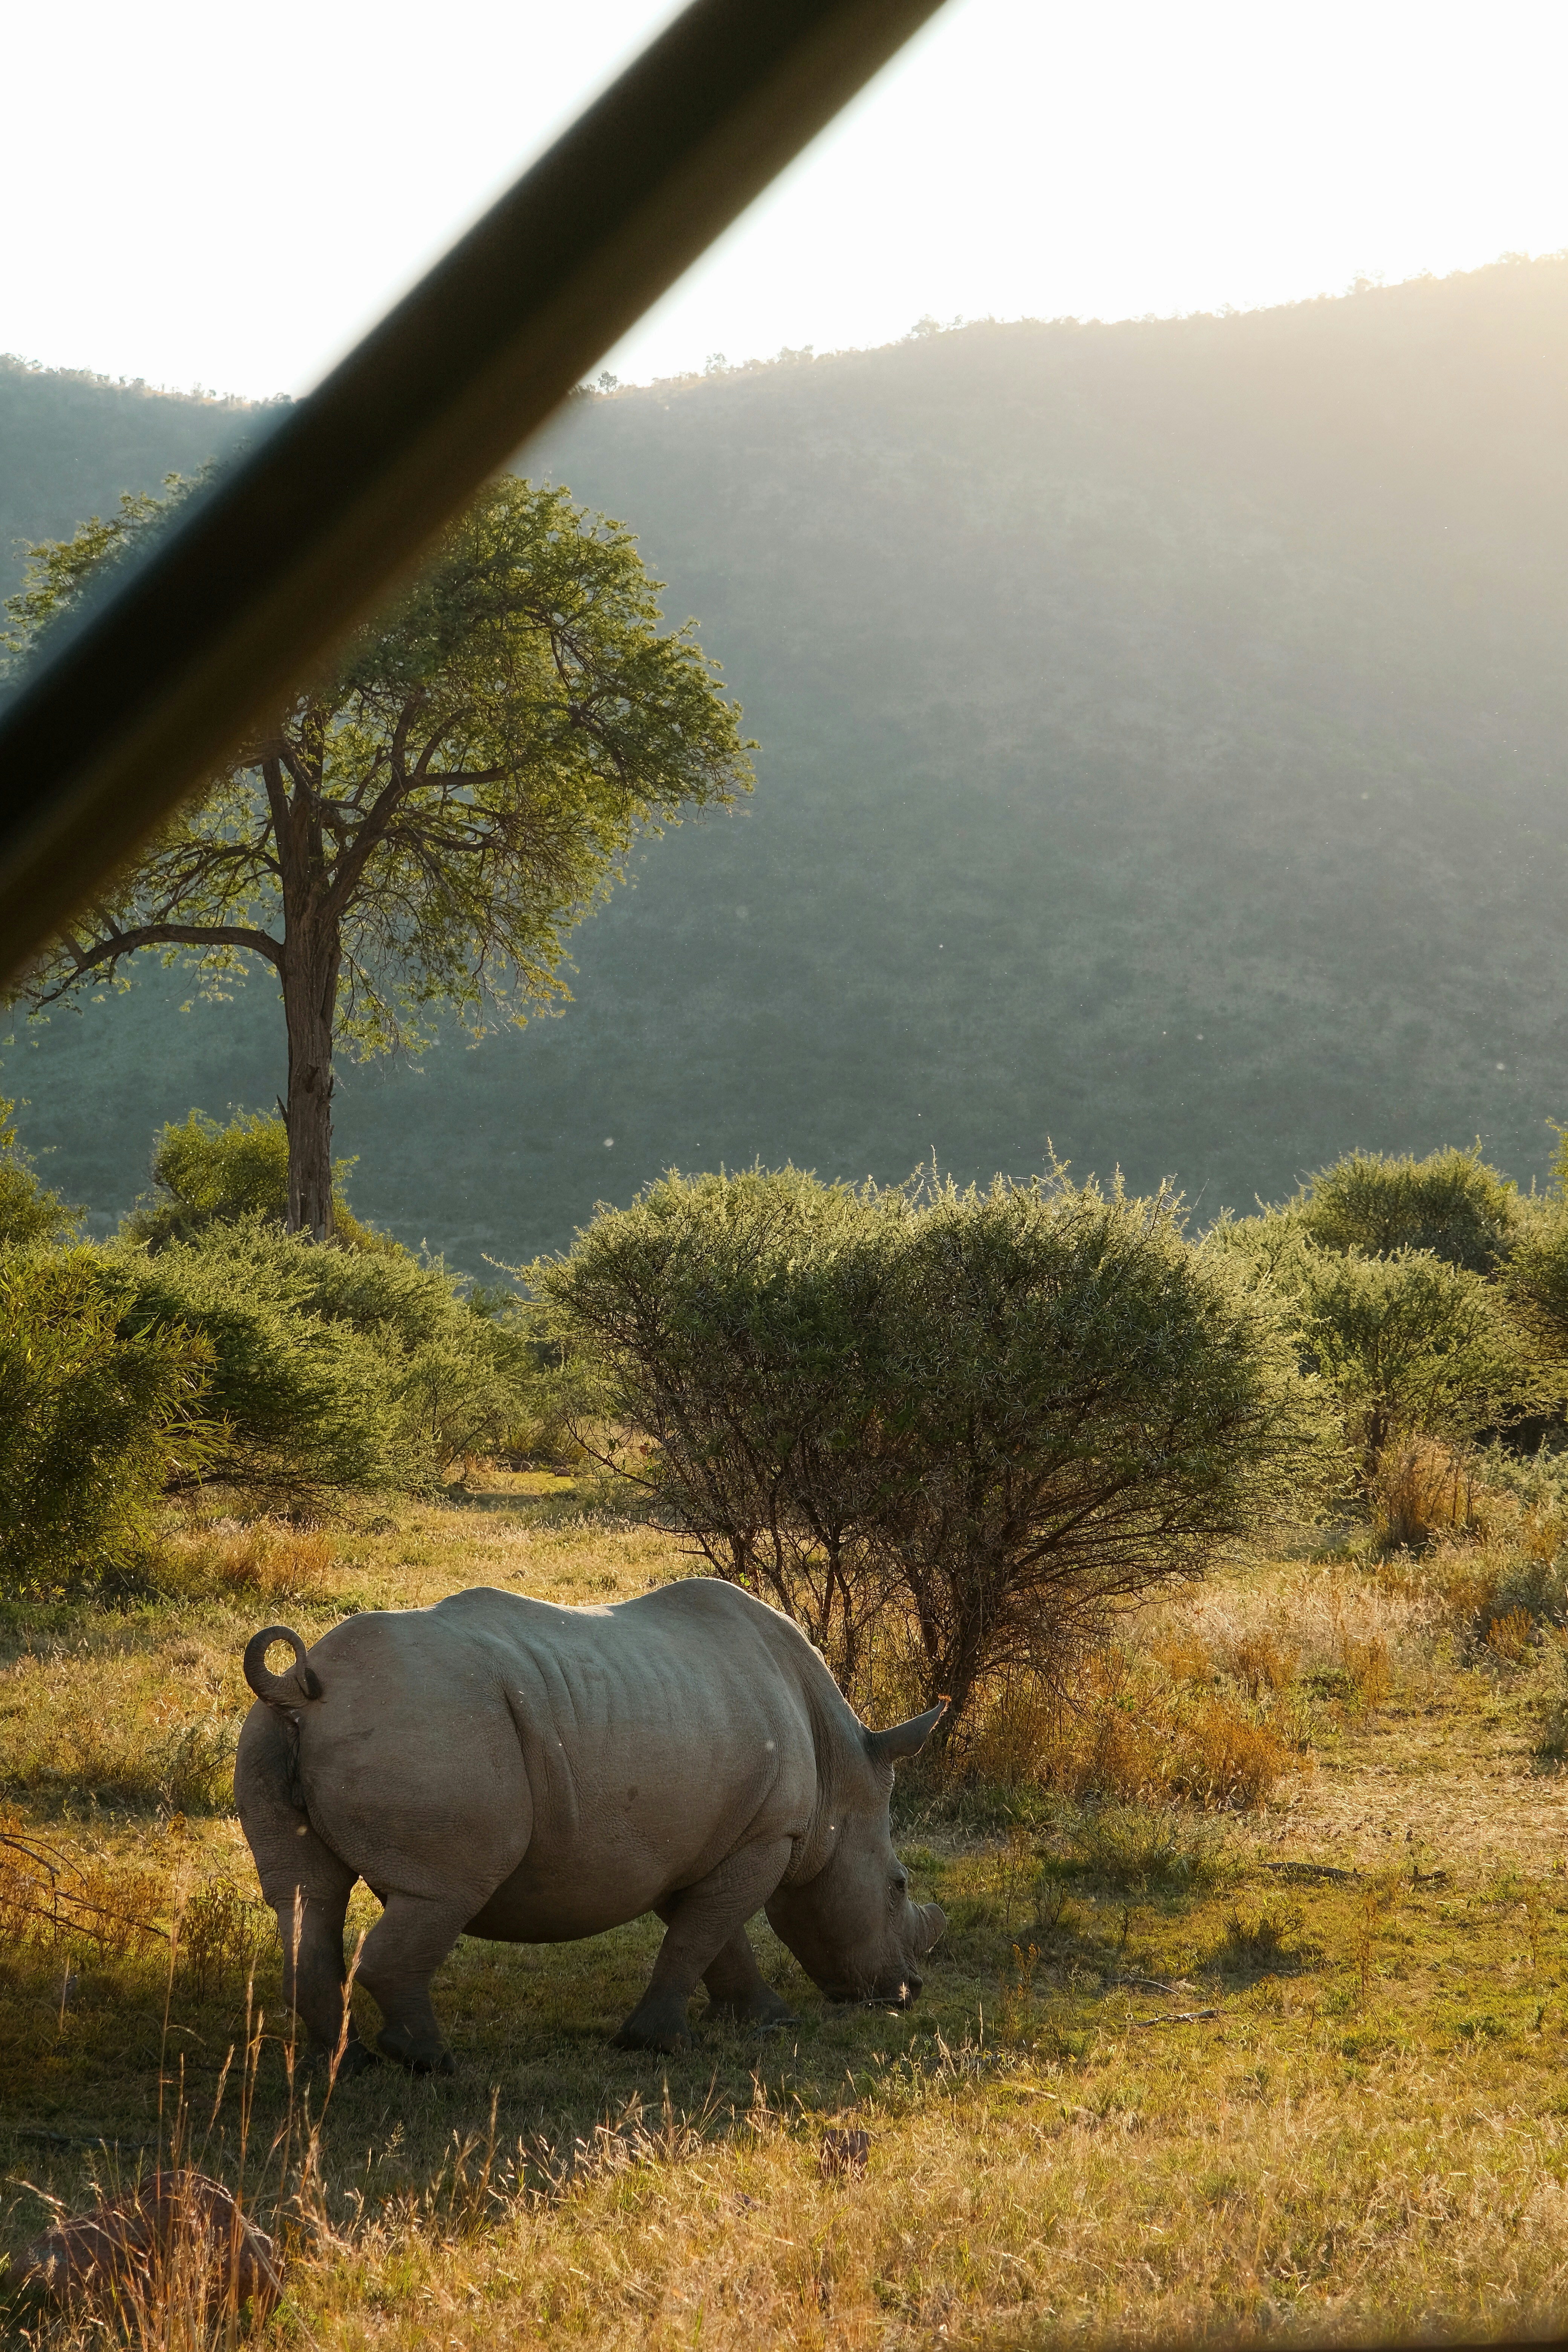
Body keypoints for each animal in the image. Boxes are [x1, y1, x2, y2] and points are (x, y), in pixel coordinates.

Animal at [235, 1577, 947, 2071]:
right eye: (900, 1886)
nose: (907, 1992)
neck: (839, 1776)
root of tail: (304, 1690)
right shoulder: (768, 1835)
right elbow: (703, 1936)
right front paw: (659, 2044)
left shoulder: (691, 1843)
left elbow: (712, 1935)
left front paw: (767, 2022)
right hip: (432, 1728)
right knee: (444, 1894)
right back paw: (431, 2062)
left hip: (272, 1735)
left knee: (305, 1897)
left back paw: (346, 2065)